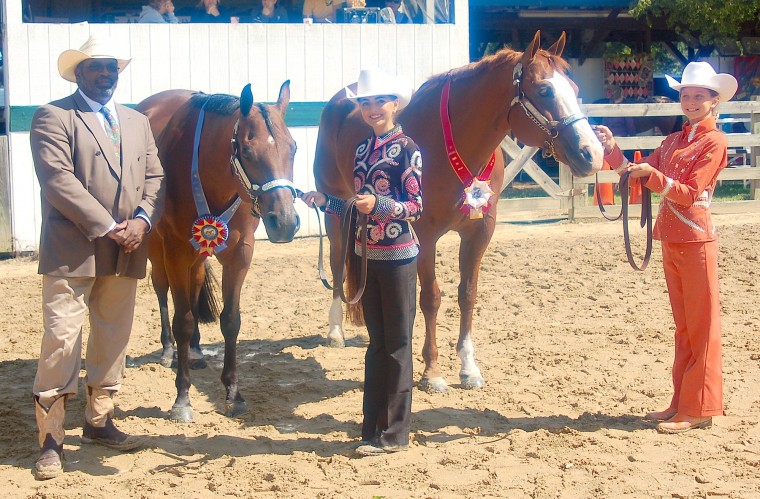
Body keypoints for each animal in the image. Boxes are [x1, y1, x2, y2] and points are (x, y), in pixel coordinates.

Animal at [135, 82, 299, 422]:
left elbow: (230, 321)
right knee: (161, 290)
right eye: (247, 151)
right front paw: (182, 398)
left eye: (293, 148)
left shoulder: (240, 253)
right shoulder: (175, 250)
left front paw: (233, 393)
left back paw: (196, 351)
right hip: (156, 248)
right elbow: (182, 320)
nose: (285, 222)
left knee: (195, 284)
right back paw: (168, 349)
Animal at [313, 31, 604, 393]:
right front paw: (432, 371)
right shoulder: (423, 234)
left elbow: (467, 294)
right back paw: (335, 331)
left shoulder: (480, 230)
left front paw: (468, 368)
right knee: (337, 265)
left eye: (575, 90)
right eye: (544, 90)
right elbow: (431, 298)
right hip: (335, 210)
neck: (453, 143)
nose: (592, 154)